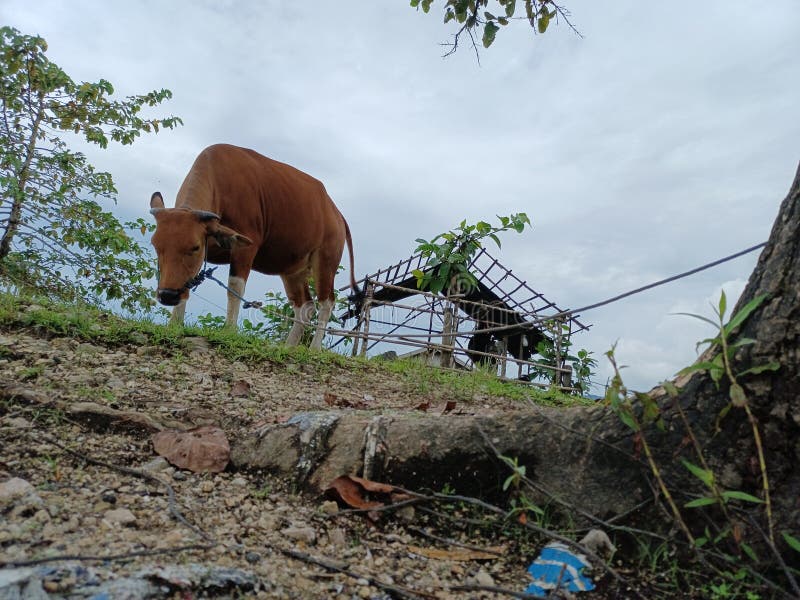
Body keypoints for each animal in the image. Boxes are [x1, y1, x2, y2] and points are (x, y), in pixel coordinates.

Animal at [148, 143, 360, 350]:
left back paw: (314, 348)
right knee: (305, 306)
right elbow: (189, 280)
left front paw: (229, 330)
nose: (167, 295)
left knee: (326, 302)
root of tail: (336, 214)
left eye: (195, 247)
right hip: (292, 269)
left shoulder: (245, 248)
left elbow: (234, 288)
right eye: (156, 246)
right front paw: (174, 325)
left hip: (326, 261)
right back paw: (288, 347)